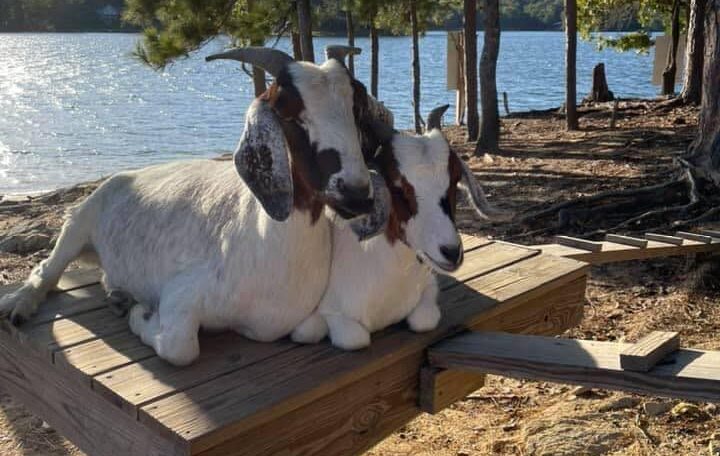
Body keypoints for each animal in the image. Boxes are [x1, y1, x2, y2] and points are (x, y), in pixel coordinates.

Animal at [0, 47, 384, 366]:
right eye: (290, 113)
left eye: (355, 108)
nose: (356, 193)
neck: (267, 241)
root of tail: (123, 177)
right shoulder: (182, 294)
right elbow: (180, 348)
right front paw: (141, 315)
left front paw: (131, 306)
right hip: (78, 224)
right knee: (46, 269)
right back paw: (19, 306)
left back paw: (117, 294)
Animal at [291, 105, 500, 350]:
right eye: (397, 186)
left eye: (455, 178)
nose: (451, 252)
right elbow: (351, 338)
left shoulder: (428, 287)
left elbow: (424, 320)